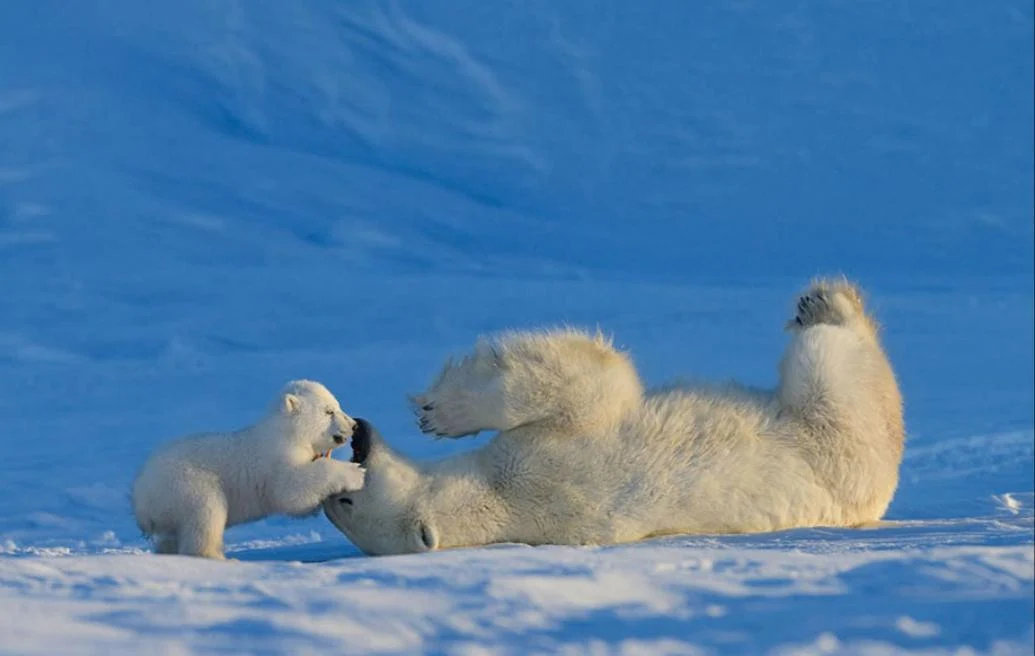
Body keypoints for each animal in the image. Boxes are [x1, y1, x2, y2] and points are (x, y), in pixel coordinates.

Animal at [132, 379, 366, 559]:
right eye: (329, 411)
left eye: (338, 405)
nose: (354, 425)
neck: (286, 432)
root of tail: (141, 498)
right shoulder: (277, 458)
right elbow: (291, 491)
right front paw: (356, 472)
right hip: (184, 484)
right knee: (206, 511)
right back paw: (216, 557)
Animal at [323, 278, 905, 555]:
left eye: (344, 501)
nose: (360, 435)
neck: (501, 502)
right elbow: (589, 385)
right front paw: (439, 410)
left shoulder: (547, 461)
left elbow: (586, 387)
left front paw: (439, 411)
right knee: (830, 364)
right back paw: (827, 306)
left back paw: (824, 303)